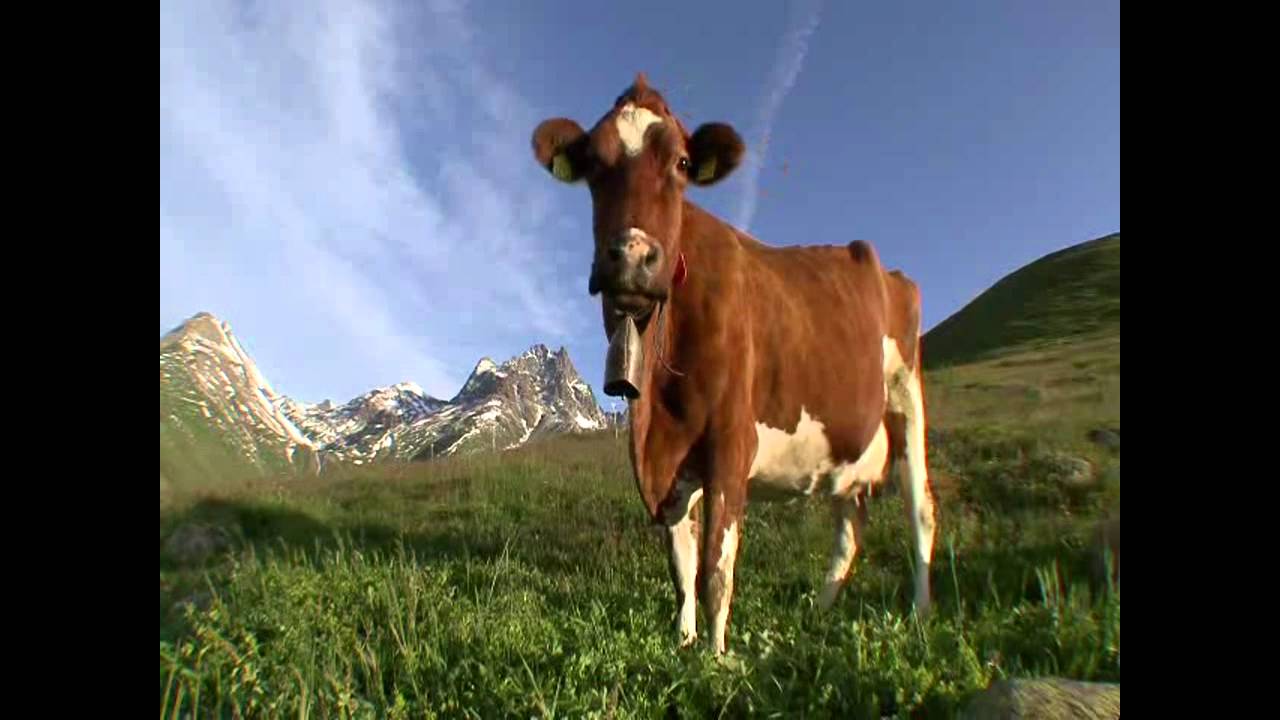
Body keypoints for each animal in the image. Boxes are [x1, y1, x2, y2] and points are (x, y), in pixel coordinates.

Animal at [531, 73, 936, 654]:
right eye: (593, 165)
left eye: (681, 163)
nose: (631, 257)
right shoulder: (668, 454)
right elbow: (682, 565)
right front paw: (682, 643)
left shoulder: (730, 437)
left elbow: (715, 568)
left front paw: (716, 656)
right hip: (847, 442)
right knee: (850, 524)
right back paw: (819, 612)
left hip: (907, 396)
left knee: (919, 508)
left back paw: (921, 613)